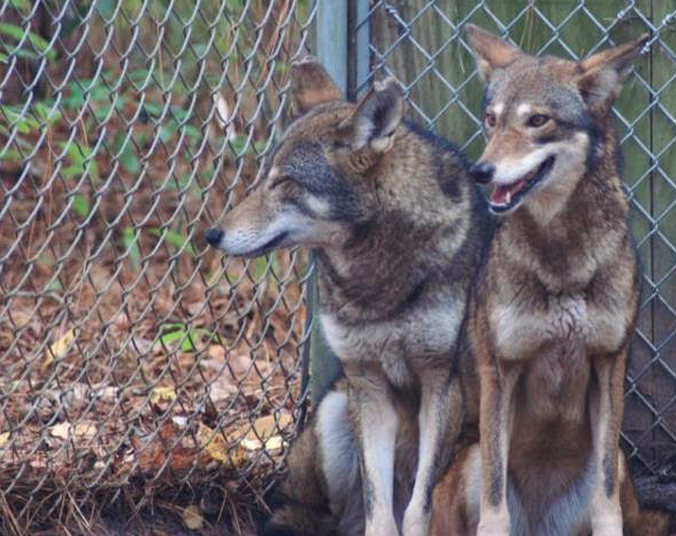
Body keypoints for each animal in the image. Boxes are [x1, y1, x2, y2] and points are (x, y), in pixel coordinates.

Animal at [206, 57, 492, 536]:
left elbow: (419, 508)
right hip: (336, 411)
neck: (374, 279)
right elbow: (380, 510)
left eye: (285, 182)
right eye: (264, 180)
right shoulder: (367, 383)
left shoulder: (441, 383)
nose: (212, 234)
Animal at [429, 24, 674, 536]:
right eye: (491, 119)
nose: (480, 171)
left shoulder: (608, 365)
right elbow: (495, 507)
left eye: (537, 120)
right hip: (471, 457)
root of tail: (541, 526)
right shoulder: (500, 372)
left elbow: (606, 503)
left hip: (620, 459)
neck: (563, 258)